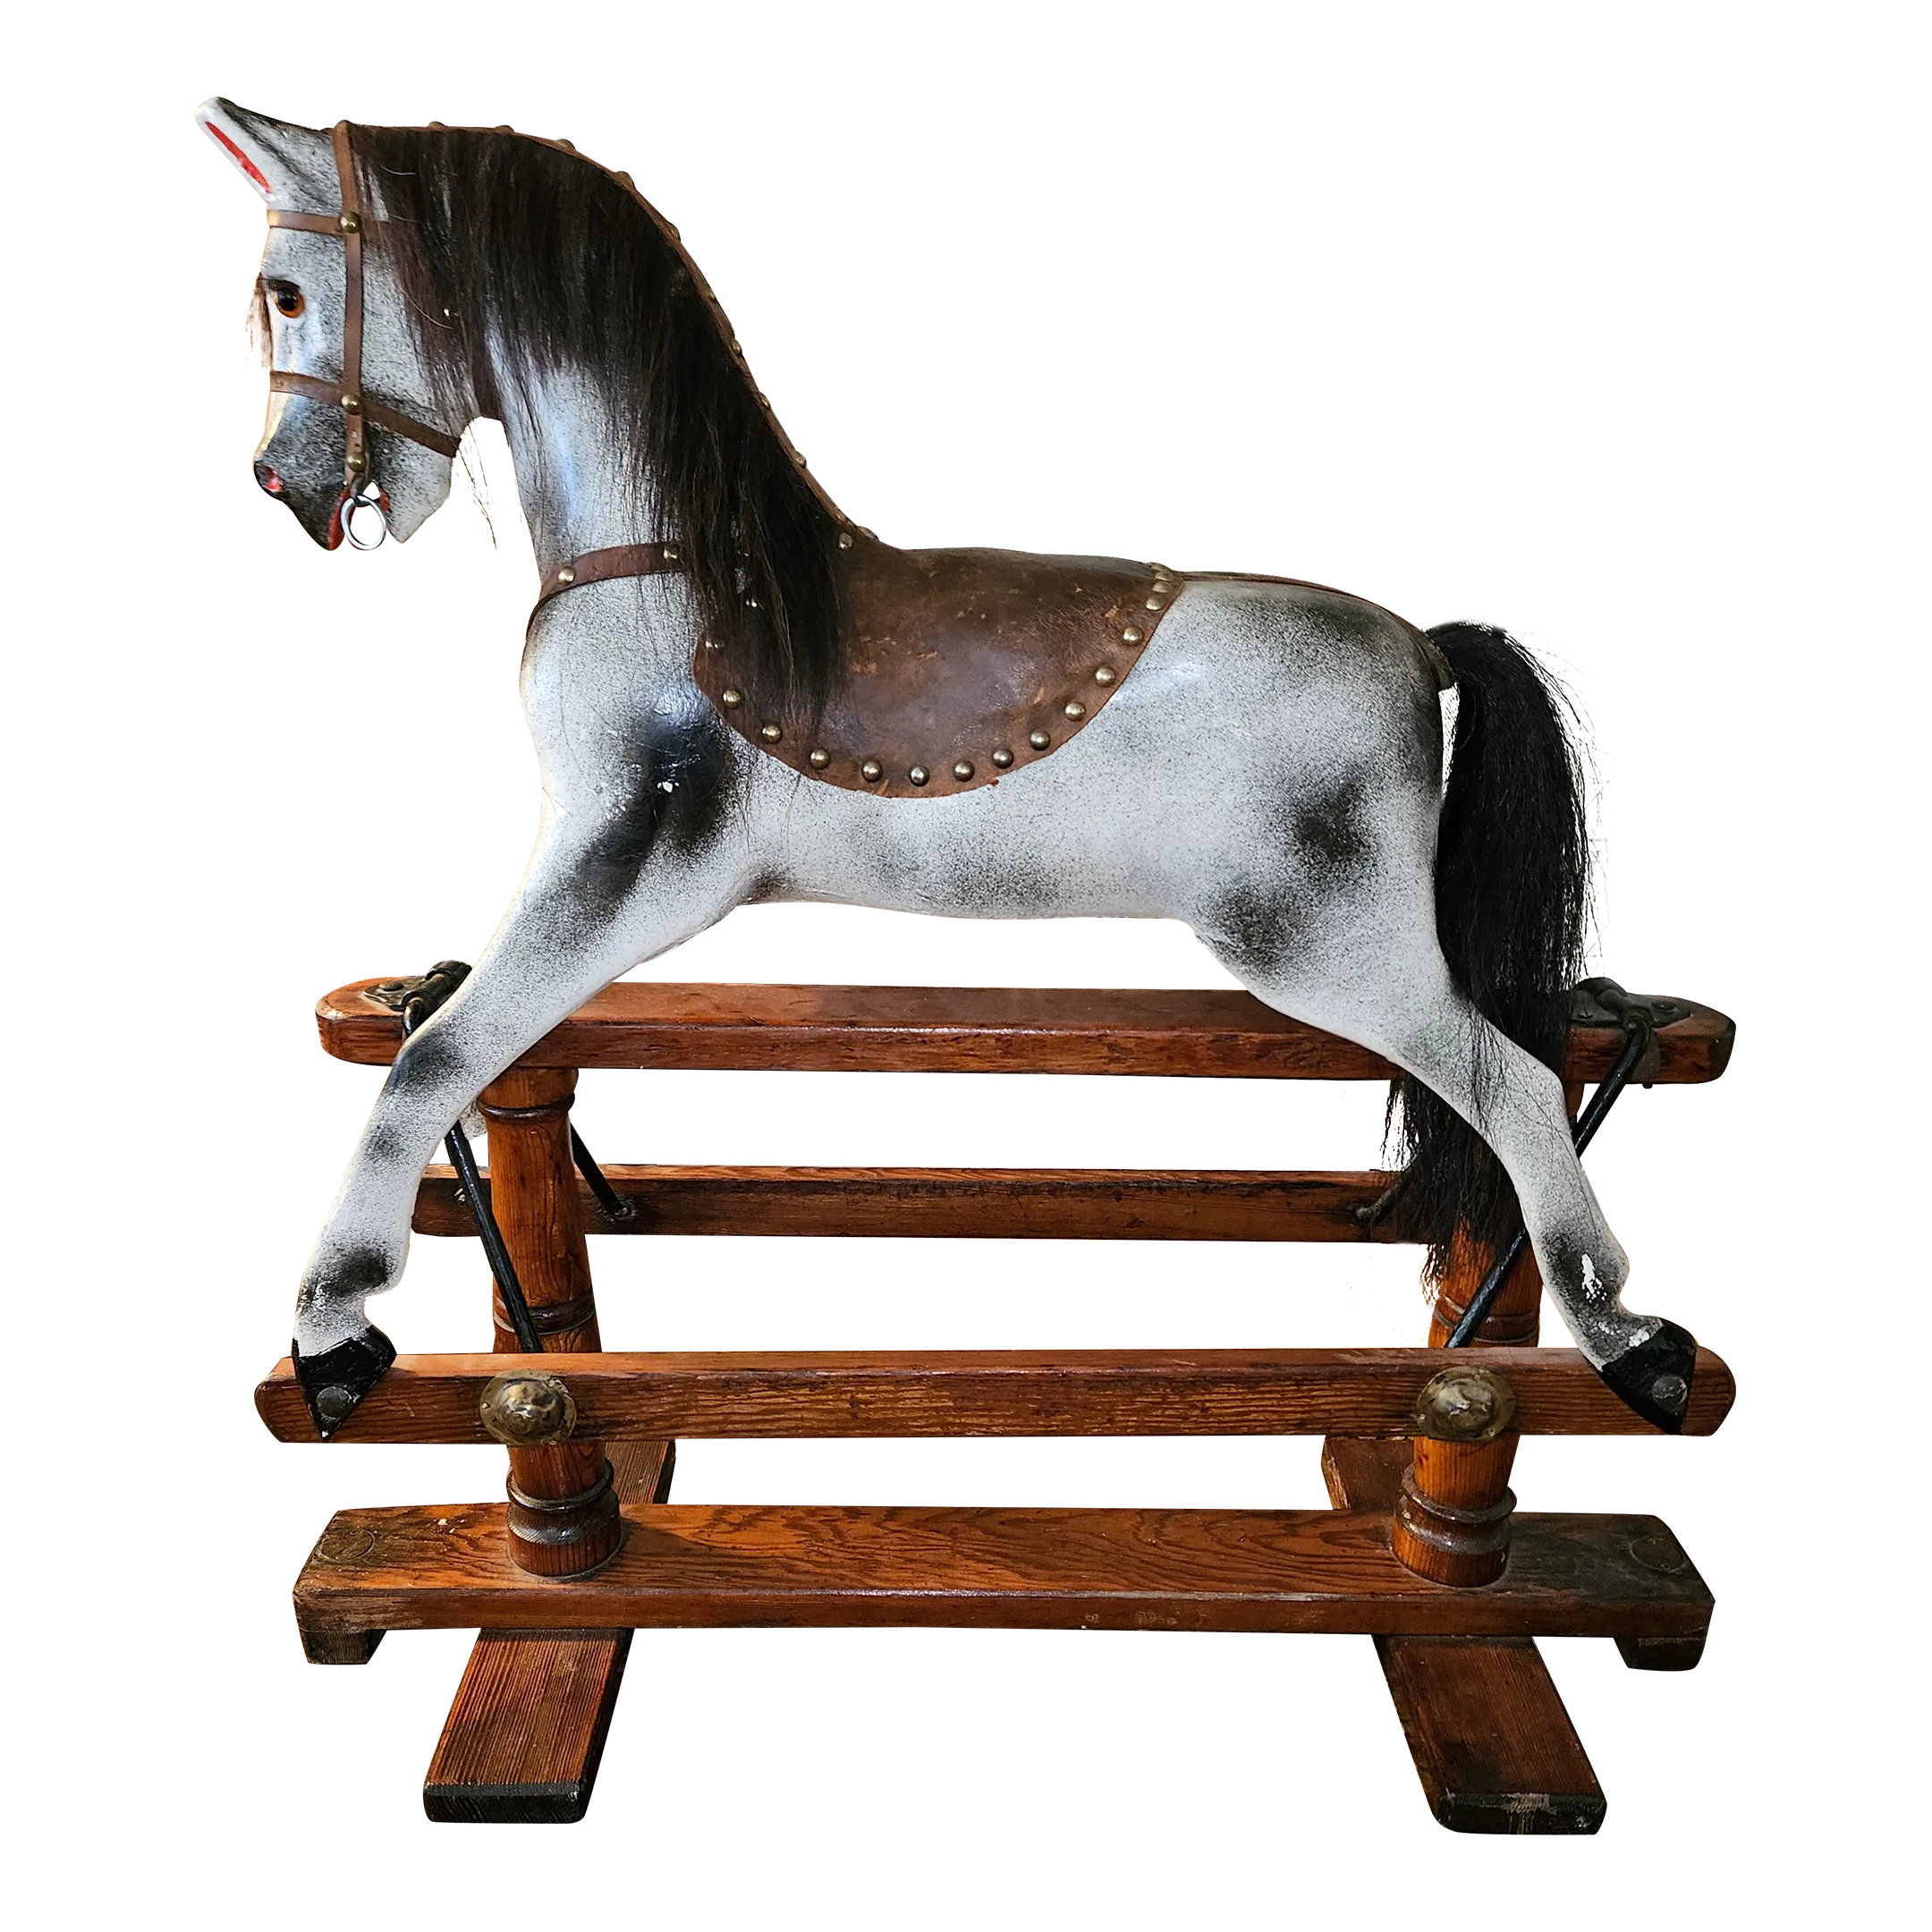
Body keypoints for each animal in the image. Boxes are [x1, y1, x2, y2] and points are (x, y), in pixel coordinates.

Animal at [195, 97, 1697, 1442]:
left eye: (287, 289)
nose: (288, 486)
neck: (674, 569)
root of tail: (1424, 645)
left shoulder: (625, 857)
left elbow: (432, 1060)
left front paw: (334, 1338)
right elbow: (447, 1033)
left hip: (1322, 943)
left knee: (1516, 1086)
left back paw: (1637, 1348)